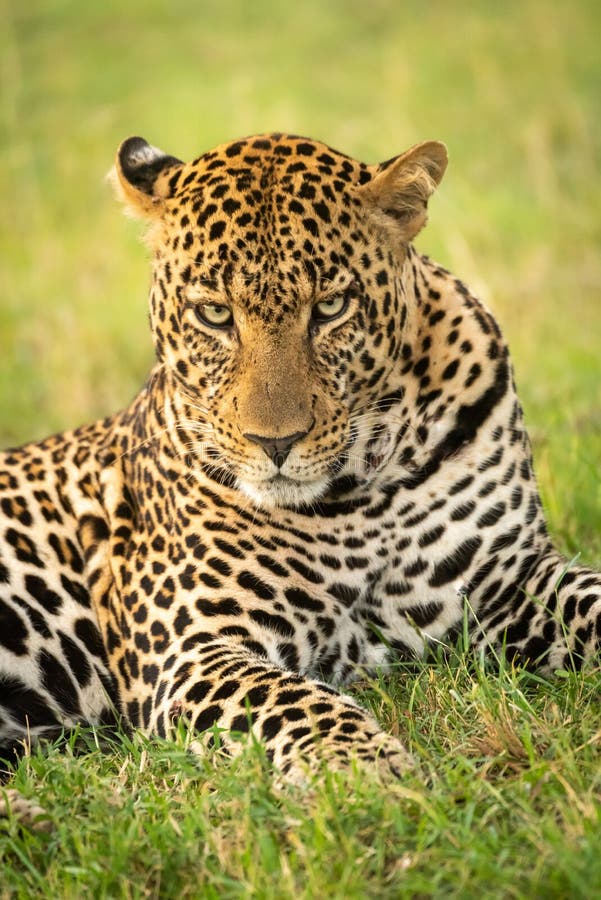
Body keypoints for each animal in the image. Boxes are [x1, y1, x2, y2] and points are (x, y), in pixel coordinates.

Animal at [1, 132, 600, 824]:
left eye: (331, 308)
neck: (359, 493)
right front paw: (368, 770)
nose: (275, 442)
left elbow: (592, 597)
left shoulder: (505, 581)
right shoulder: (193, 646)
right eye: (214, 314)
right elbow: (289, 701)